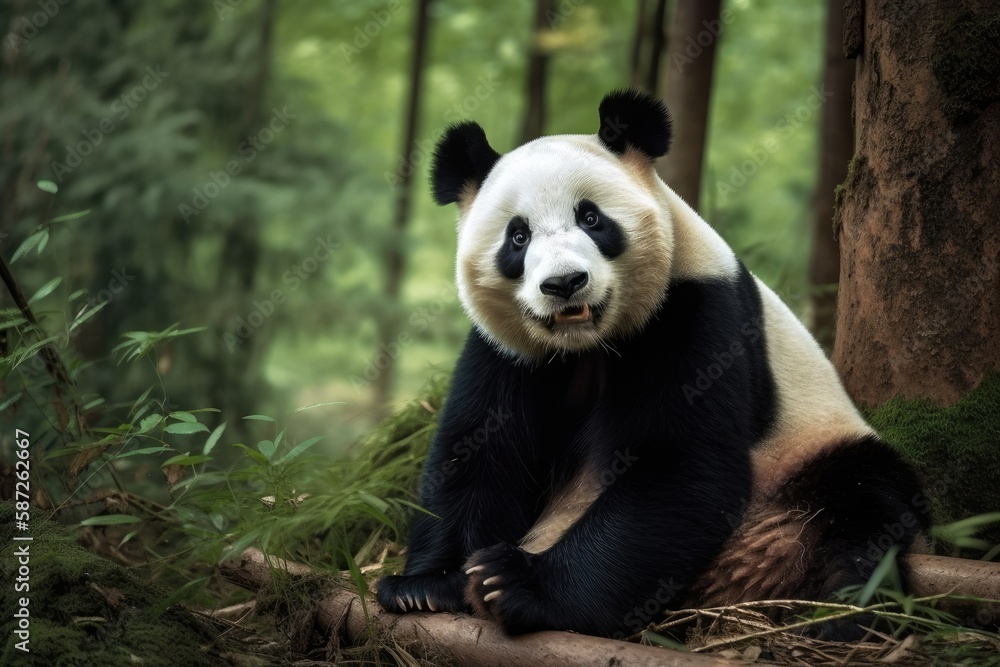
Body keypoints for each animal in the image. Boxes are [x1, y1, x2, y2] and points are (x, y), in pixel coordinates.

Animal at [376, 89, 927, 639]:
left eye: (591, 218)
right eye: (518, 236)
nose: (564, 283)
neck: (589, 346)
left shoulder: (694, 311)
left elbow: (678, 465)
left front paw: (516, 582)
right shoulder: (507, 352)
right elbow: (478, 453)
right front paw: (426, 585)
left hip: (809, 444)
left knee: (862, 506)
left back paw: (842, 614)